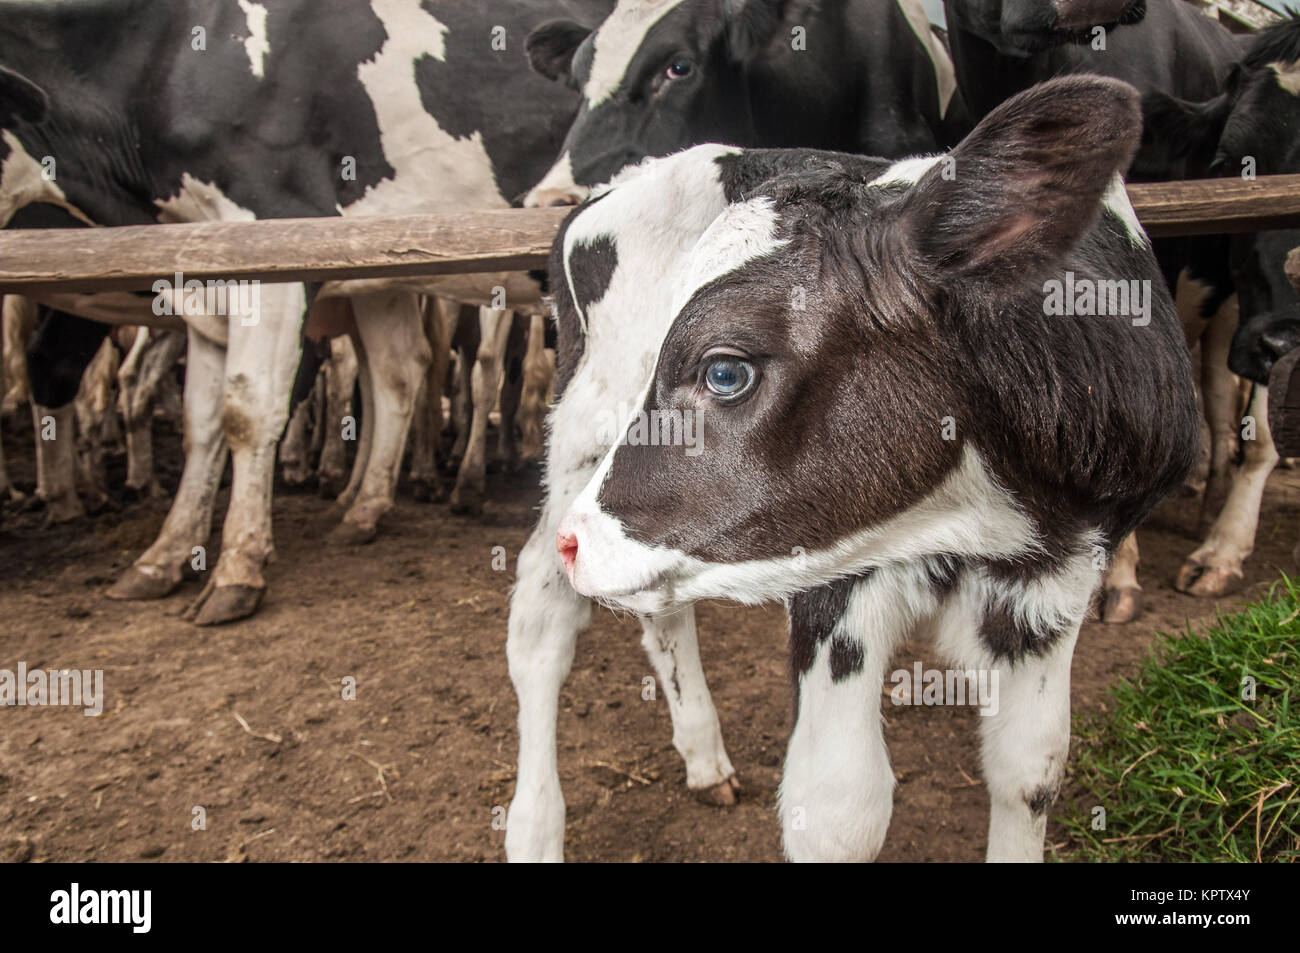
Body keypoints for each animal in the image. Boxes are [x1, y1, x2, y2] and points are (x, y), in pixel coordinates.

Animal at [0, 0, 613, 624]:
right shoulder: (204, 274)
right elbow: (202, 422)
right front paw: (164, 555)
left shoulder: (276, 243)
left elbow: (247, 413)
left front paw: (237, 570)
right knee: (400, 373)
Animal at [507, 76, 1198, 862]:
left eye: (723, 371)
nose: (578, 541)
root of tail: (614, 186)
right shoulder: (834, 581)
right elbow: (840, 806)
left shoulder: (1060, 576)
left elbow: (1032, 768)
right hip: (583, 436)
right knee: (540, 619)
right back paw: (533, 828)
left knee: (660, 610)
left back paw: (704, 755)